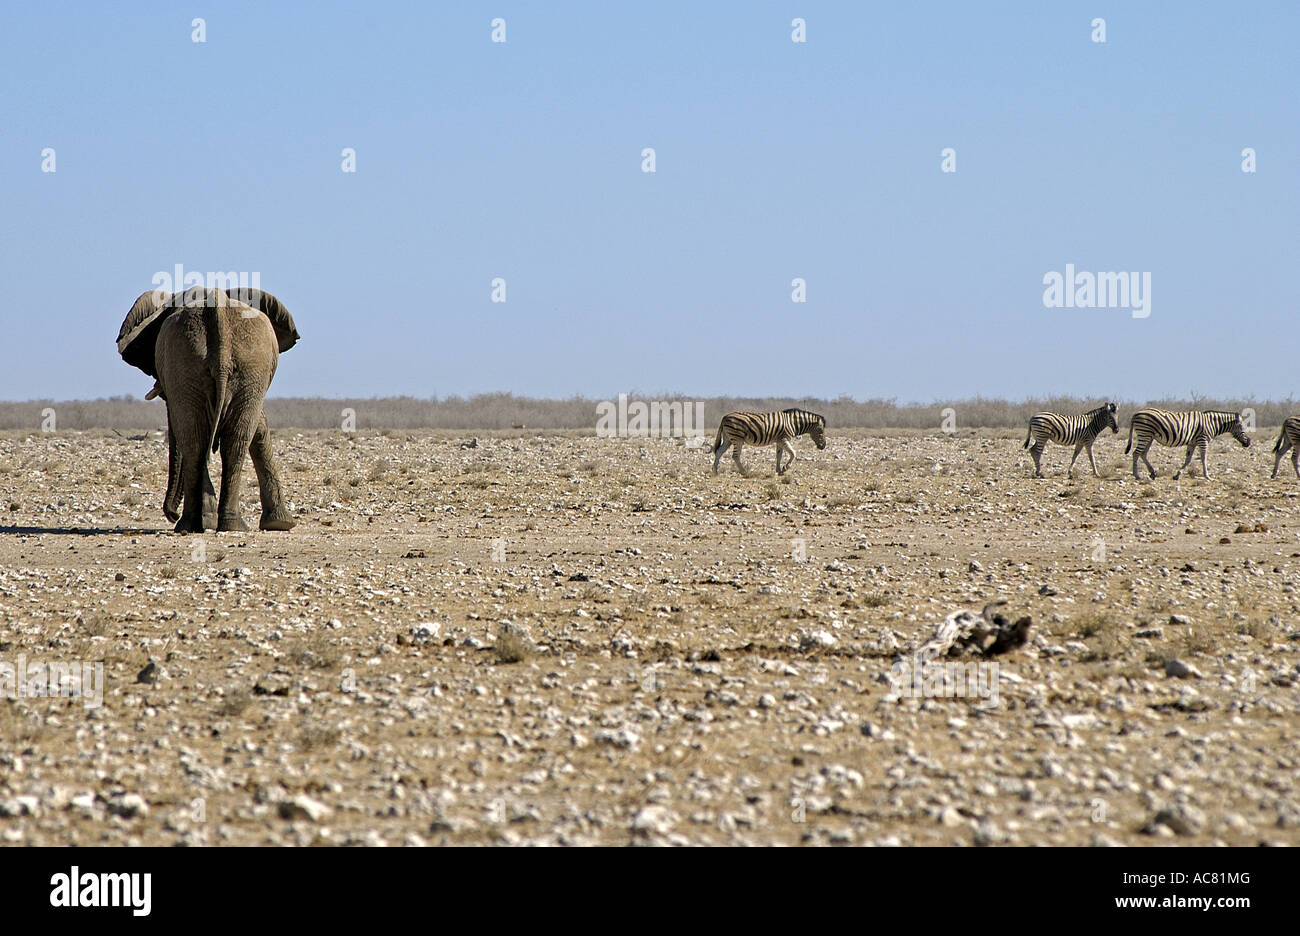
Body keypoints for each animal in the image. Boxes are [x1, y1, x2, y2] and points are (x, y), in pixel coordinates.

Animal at [117, 285, 300, 533]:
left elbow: (257, 428)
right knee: (219, 439)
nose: (171, 514)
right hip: (213, 363)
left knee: (203, 438)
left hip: (213, 363)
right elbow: (256, 427)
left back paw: (197, 525)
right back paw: (216, 525)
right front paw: (279, 523)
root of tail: (217, 310)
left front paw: (279, 524)